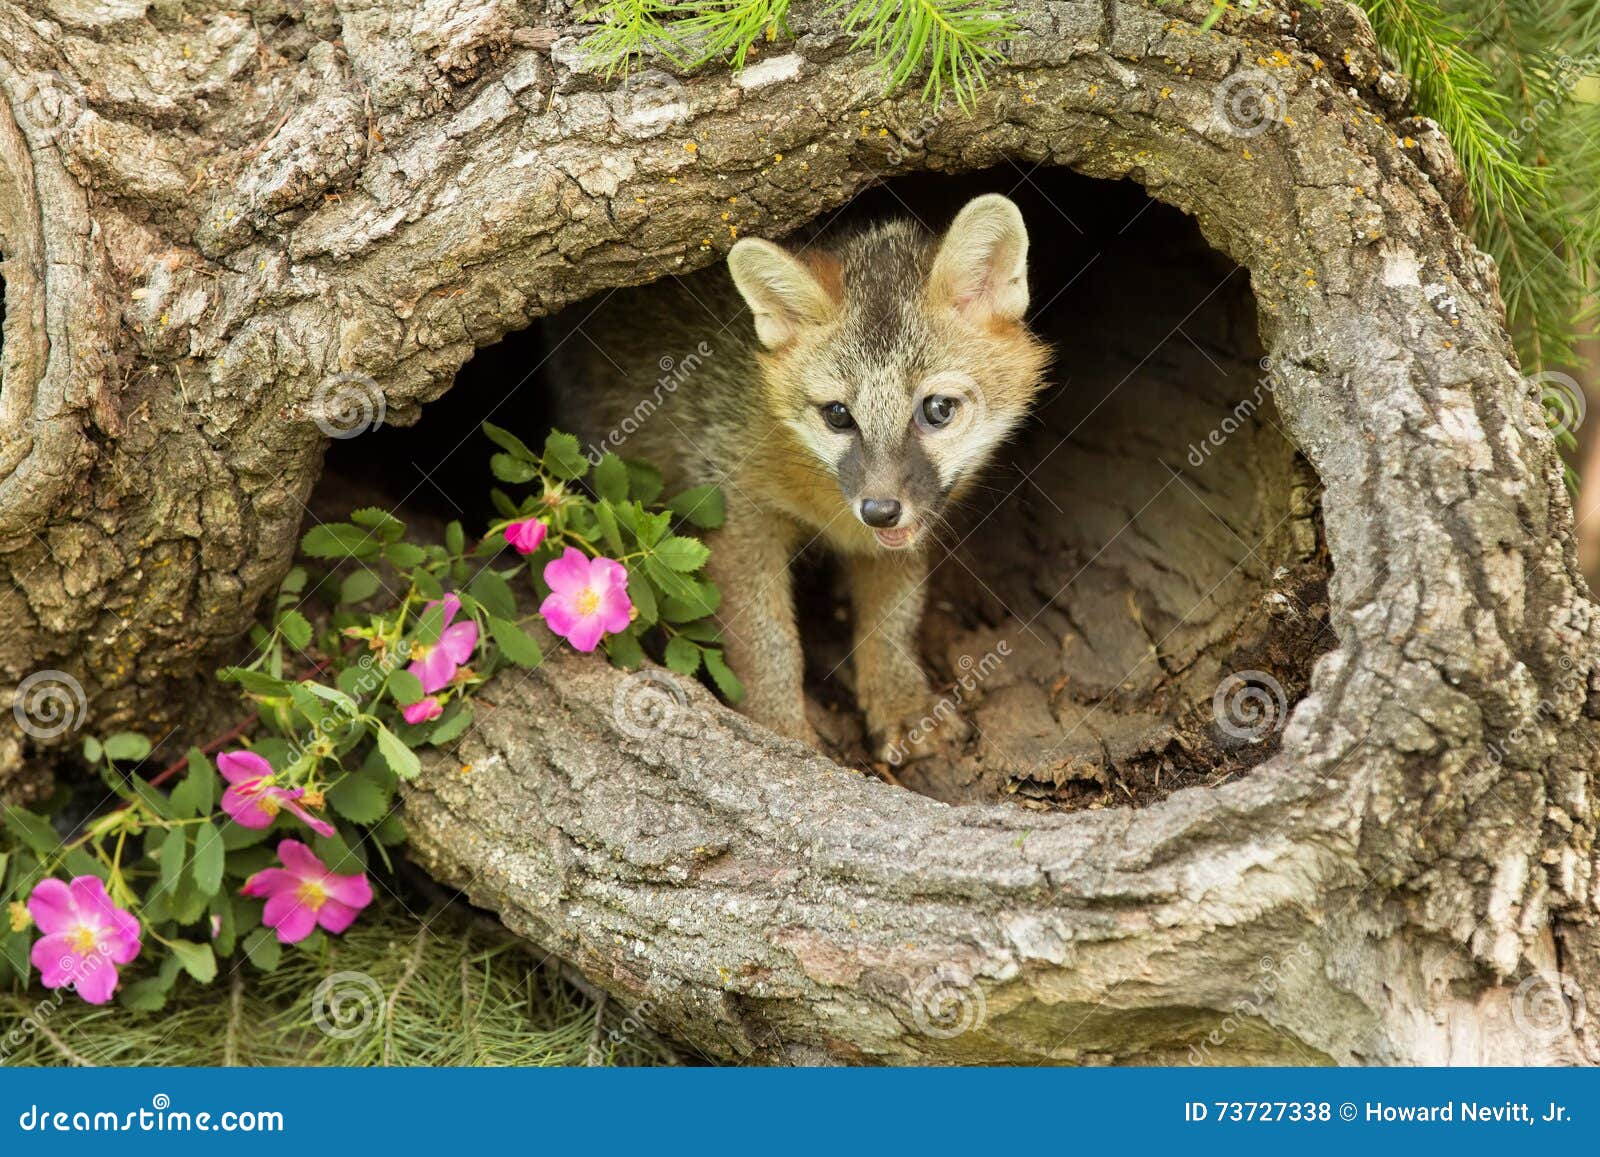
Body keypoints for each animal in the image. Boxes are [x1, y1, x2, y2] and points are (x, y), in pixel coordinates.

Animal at [550, 194, 1052, 760]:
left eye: (938, 409)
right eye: (838, 415)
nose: (879, 510)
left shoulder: (898, 538)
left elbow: (894, 619)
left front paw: (902, 704)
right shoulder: (738, 514)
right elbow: (766, 643)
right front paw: (781, 730)